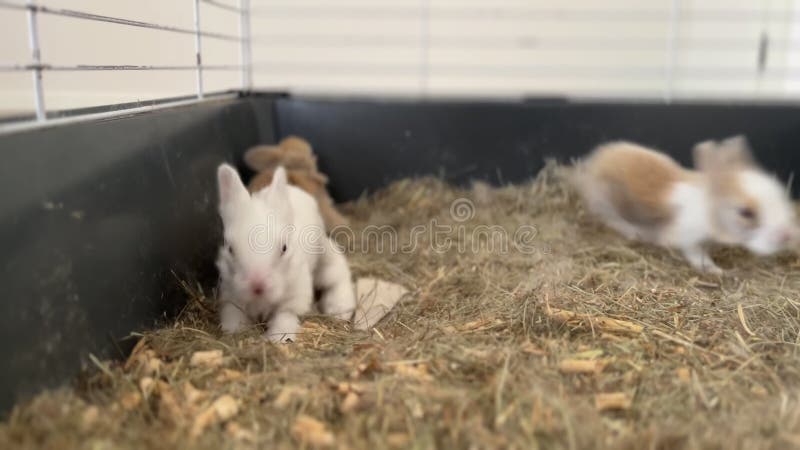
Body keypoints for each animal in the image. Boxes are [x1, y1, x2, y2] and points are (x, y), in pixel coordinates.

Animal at [215, 163, 356, 343]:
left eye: (284, 248)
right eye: (230, 249)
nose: (257, 286)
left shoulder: (294, 300)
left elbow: (284, 317)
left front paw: (278, 339)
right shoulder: (230, 296)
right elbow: (233, 315)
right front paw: (235, 333)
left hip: (324, 258)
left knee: (338, 272)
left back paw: (338, 308)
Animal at [574, 135, 797, 274]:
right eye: (746, 212)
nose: (787, 235)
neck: (709, 212)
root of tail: (592, 164)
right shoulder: (689, 240)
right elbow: (697, 255)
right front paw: (716, 271)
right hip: (607, 205)